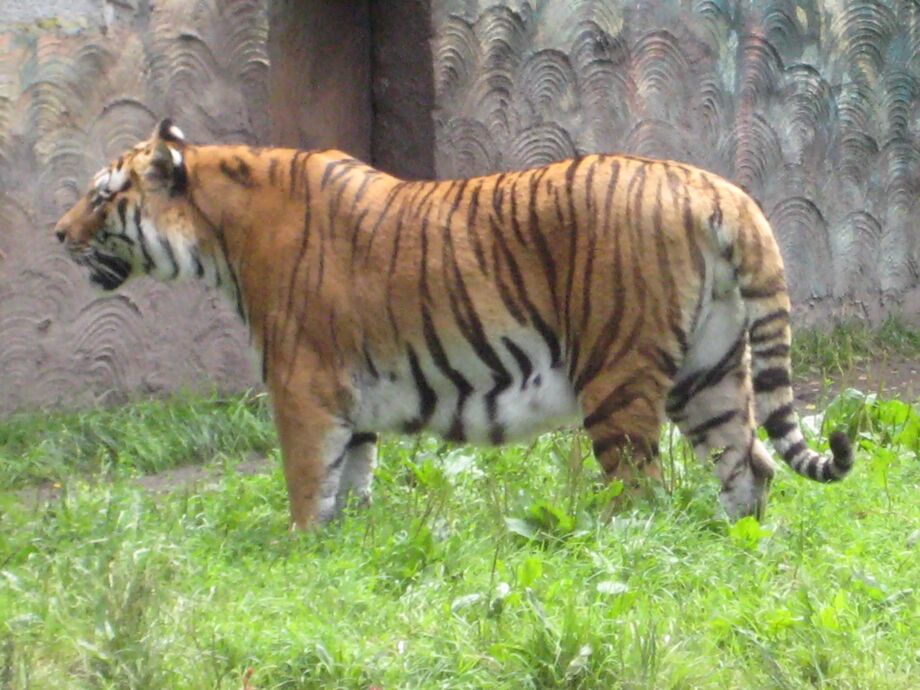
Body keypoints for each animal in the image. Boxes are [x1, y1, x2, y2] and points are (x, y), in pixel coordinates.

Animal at [54, 119, 853, 530]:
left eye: (101, 196)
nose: (58, 235)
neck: (218, 234)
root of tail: (718, 187)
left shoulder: (300, 382)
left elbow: (306, 479)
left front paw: (296, 546)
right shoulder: (351, 397)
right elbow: (352, 477)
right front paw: (346, 545)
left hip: (618, 373)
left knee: (643, 486)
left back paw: (619, 546)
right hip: (709, 368)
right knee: (749, 462)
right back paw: (734, 540)